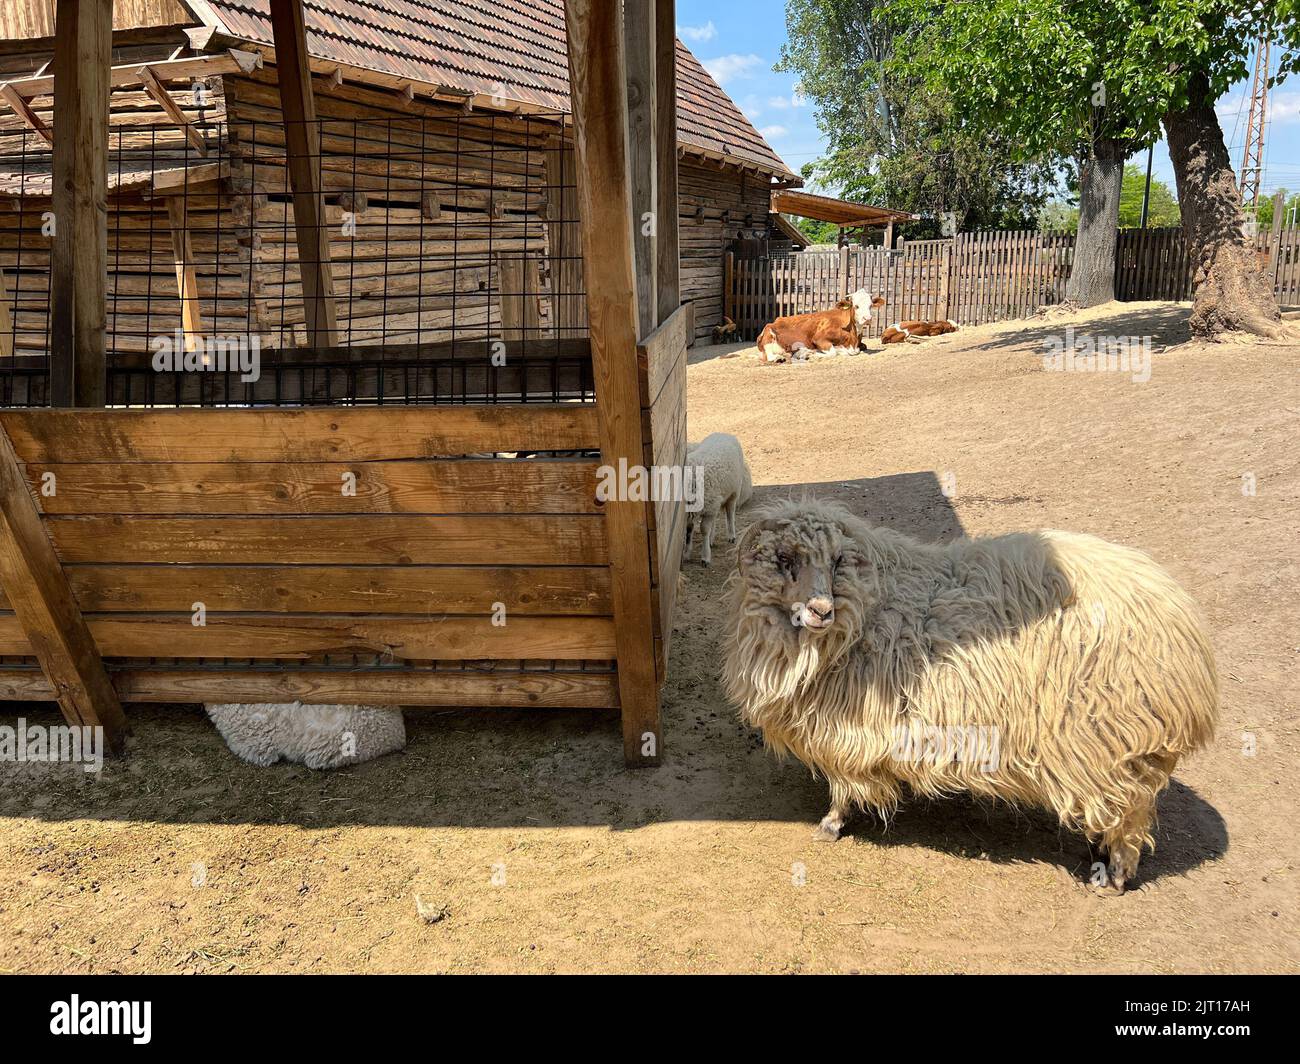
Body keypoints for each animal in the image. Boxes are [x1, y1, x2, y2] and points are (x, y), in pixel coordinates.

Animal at [684, 432, 753, 566]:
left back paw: (731, 535)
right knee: (715, 518)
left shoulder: (709, 506)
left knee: (730, 513)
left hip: (734, 492)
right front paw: (686, 554)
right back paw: (712, 539)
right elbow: (688, 532)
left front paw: (705, 557)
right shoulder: (697, 510)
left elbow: (704, 530)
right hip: (715, 502)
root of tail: (724, 433)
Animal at [722, 497, 1219, 891]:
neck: (861, 613)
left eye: (839, 560)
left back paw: (1113, 875)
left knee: (1132, 814)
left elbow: (844, 783)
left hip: (1113, 740)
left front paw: (831, 823)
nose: (821, 610)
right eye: (784, 558)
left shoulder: (849, 729)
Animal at [757, 289, 885, 363]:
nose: (867, 319)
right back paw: (779, 358)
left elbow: (861, 348)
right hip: (769, 335)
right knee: (769, 355)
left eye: (870, 305)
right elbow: (833, 352)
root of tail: (775, 321)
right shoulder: (819, 339)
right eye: (856, 306)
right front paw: (812, 354)